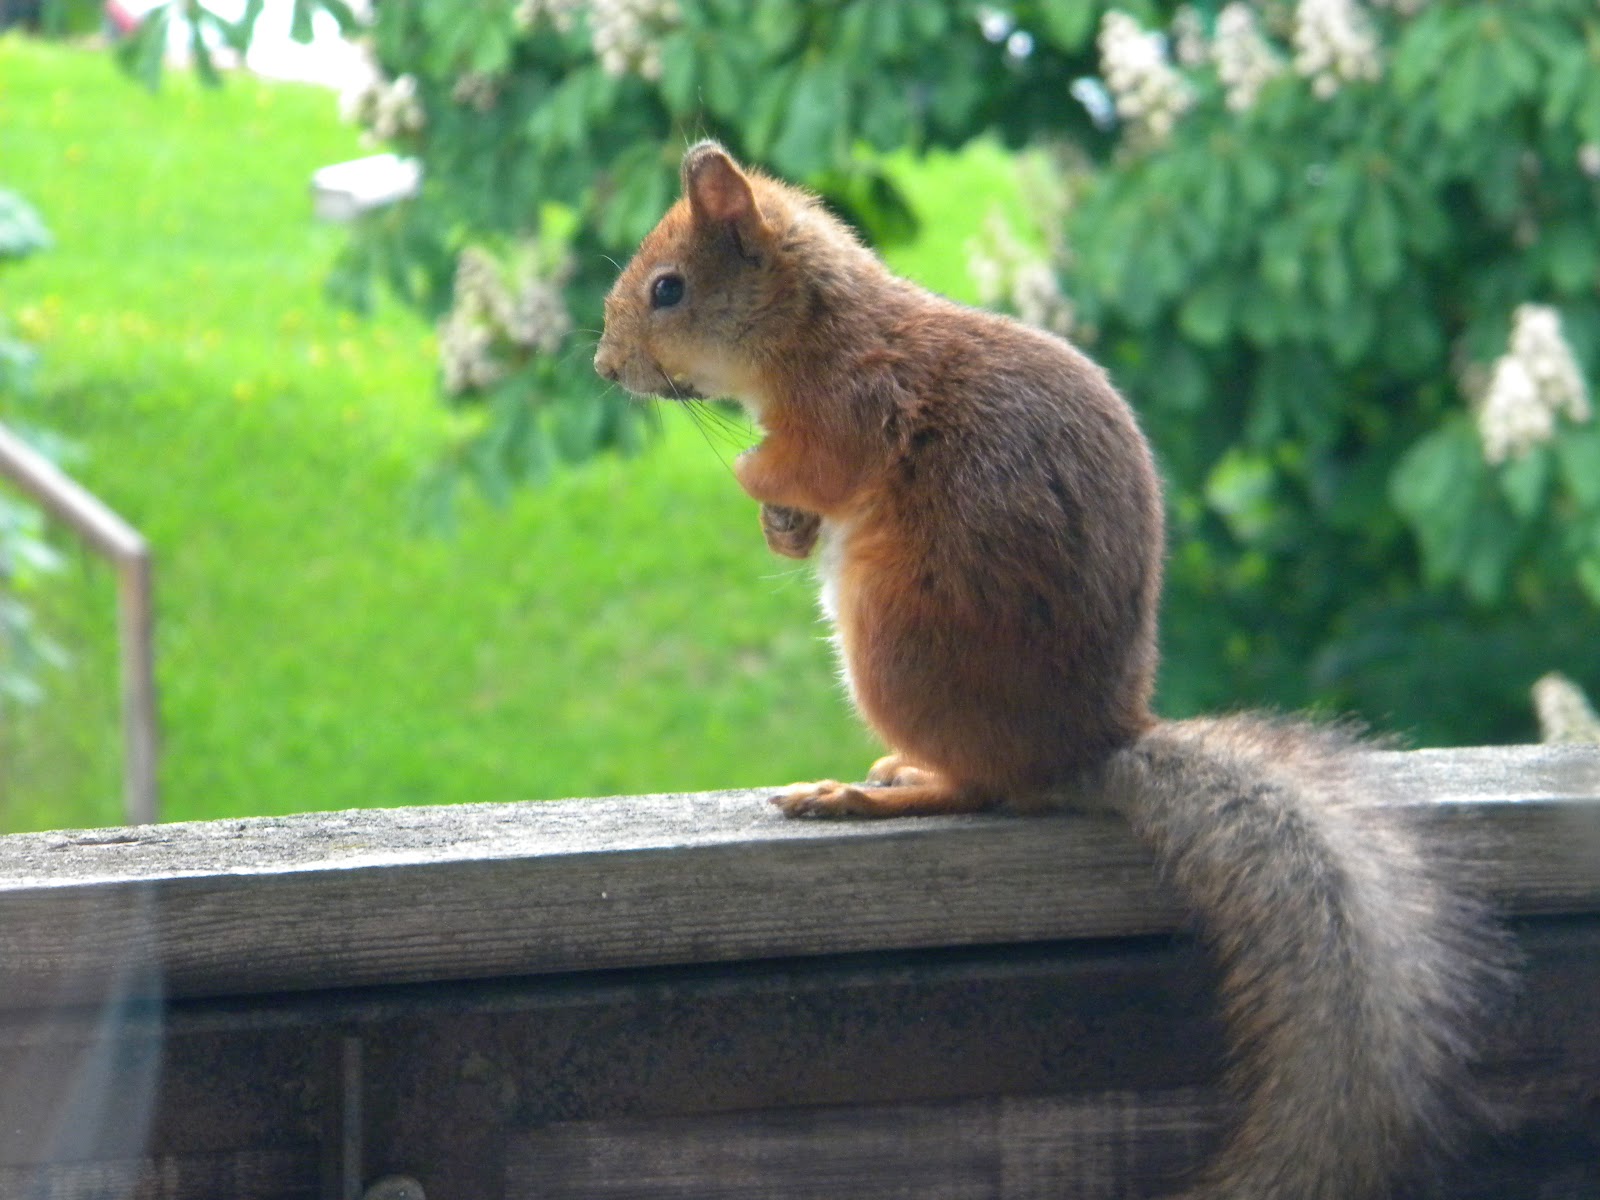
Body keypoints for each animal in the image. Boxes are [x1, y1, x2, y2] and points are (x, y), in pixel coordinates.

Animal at [594, 141, 1508, 1199]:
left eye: (667, 289)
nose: (605, 364)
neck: (818, 329)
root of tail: (1091, 746)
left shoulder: (853, 407)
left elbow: (799, 465)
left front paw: (759, 486)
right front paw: (785, 533)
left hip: (896, 647)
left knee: (982, 791)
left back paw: (866, 797)